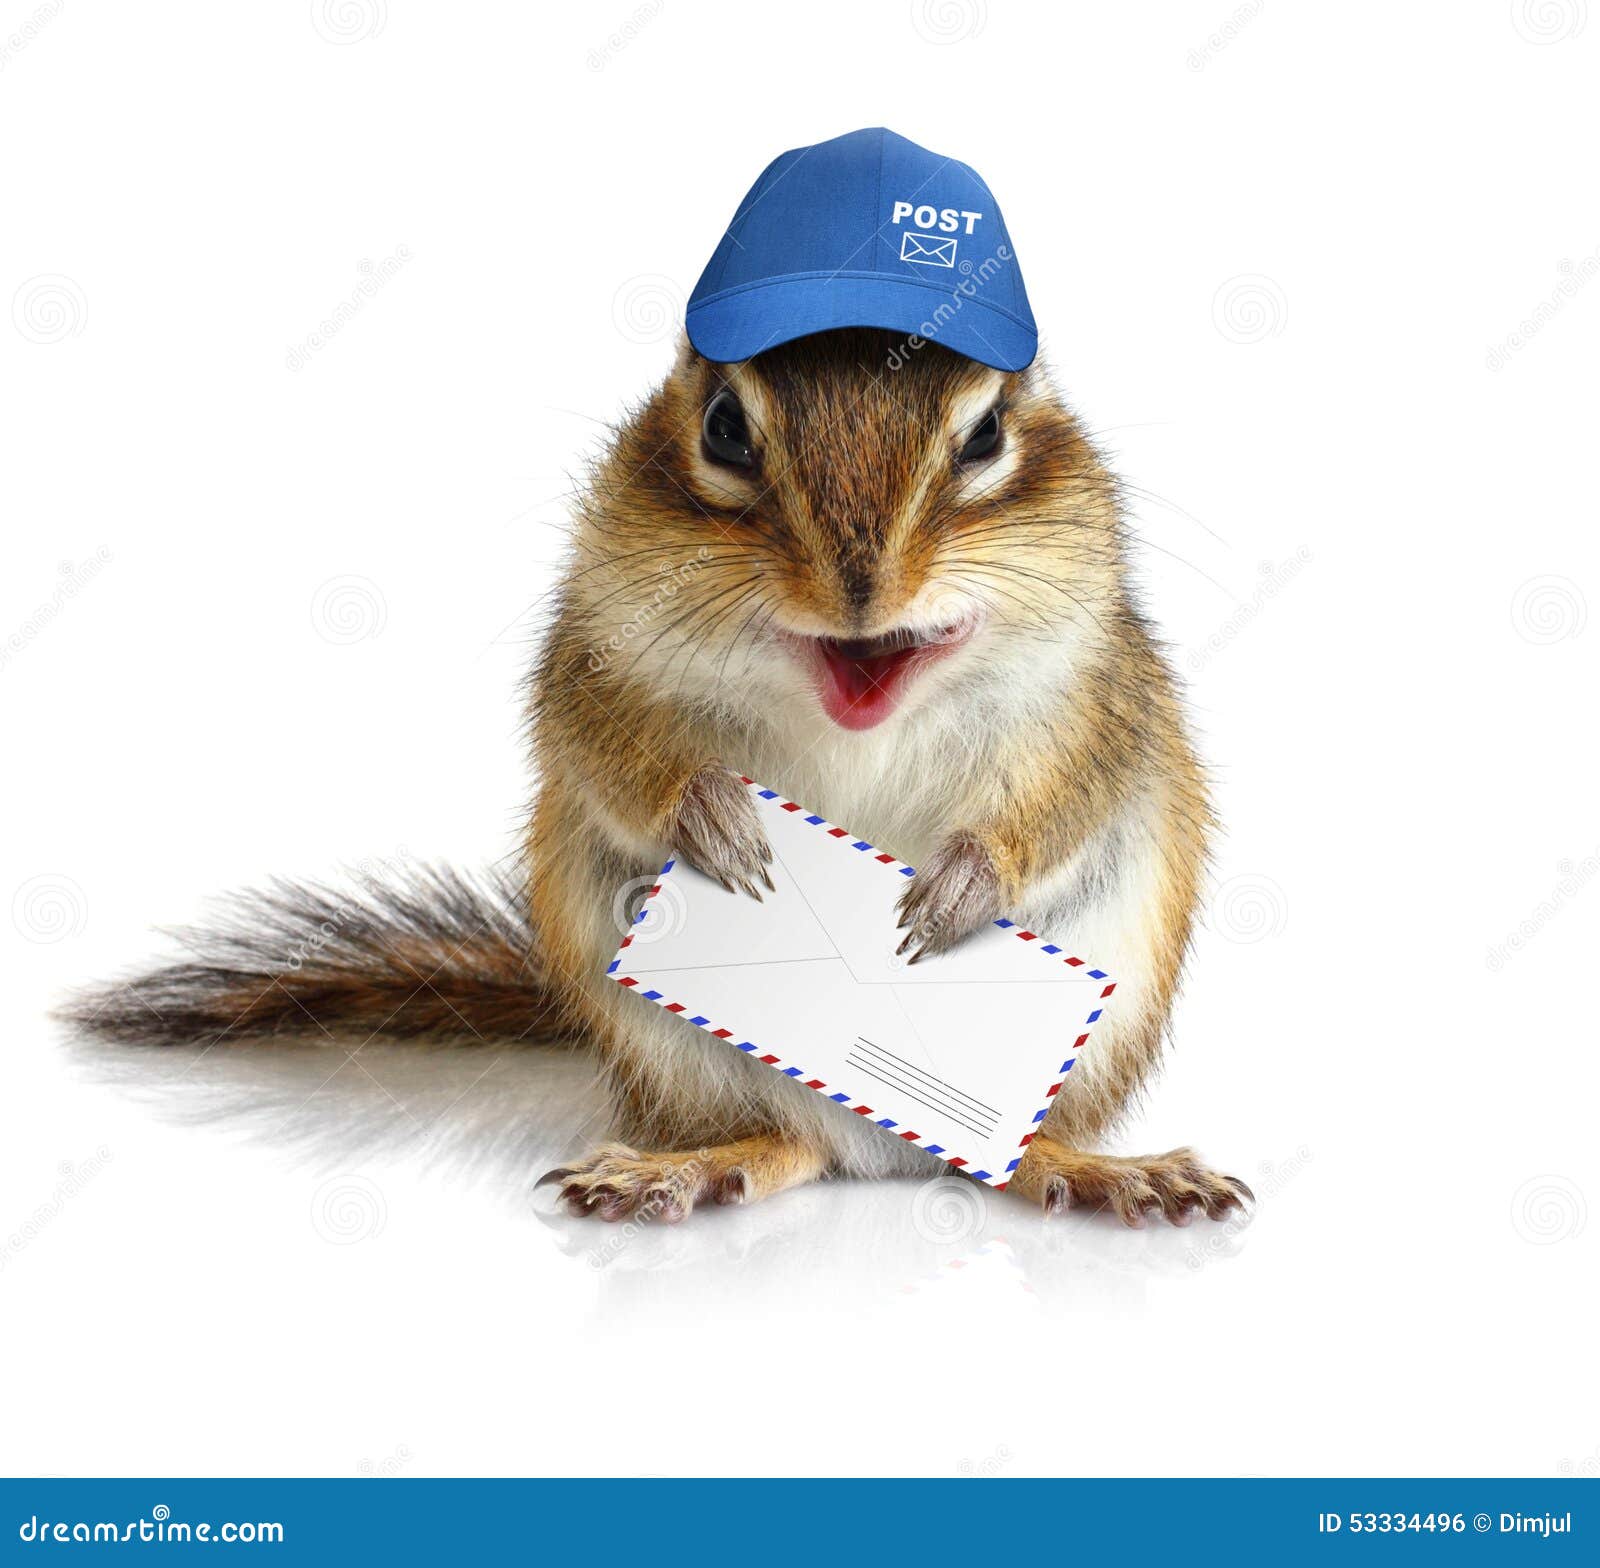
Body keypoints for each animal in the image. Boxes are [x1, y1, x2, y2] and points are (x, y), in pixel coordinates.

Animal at [68, 327, 1251, 1228]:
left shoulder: (1096, 693)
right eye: (724, 426)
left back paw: (1105, 1171)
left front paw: (963, 884)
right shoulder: (595, 656)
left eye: (988, 434)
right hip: (678, 1056)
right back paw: (689, 1167)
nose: (861, 588)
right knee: (783, 1144)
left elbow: (1060, 800)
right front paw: (711, 822)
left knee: (1014, 1153)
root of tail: (885, 1150)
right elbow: (614, 752)